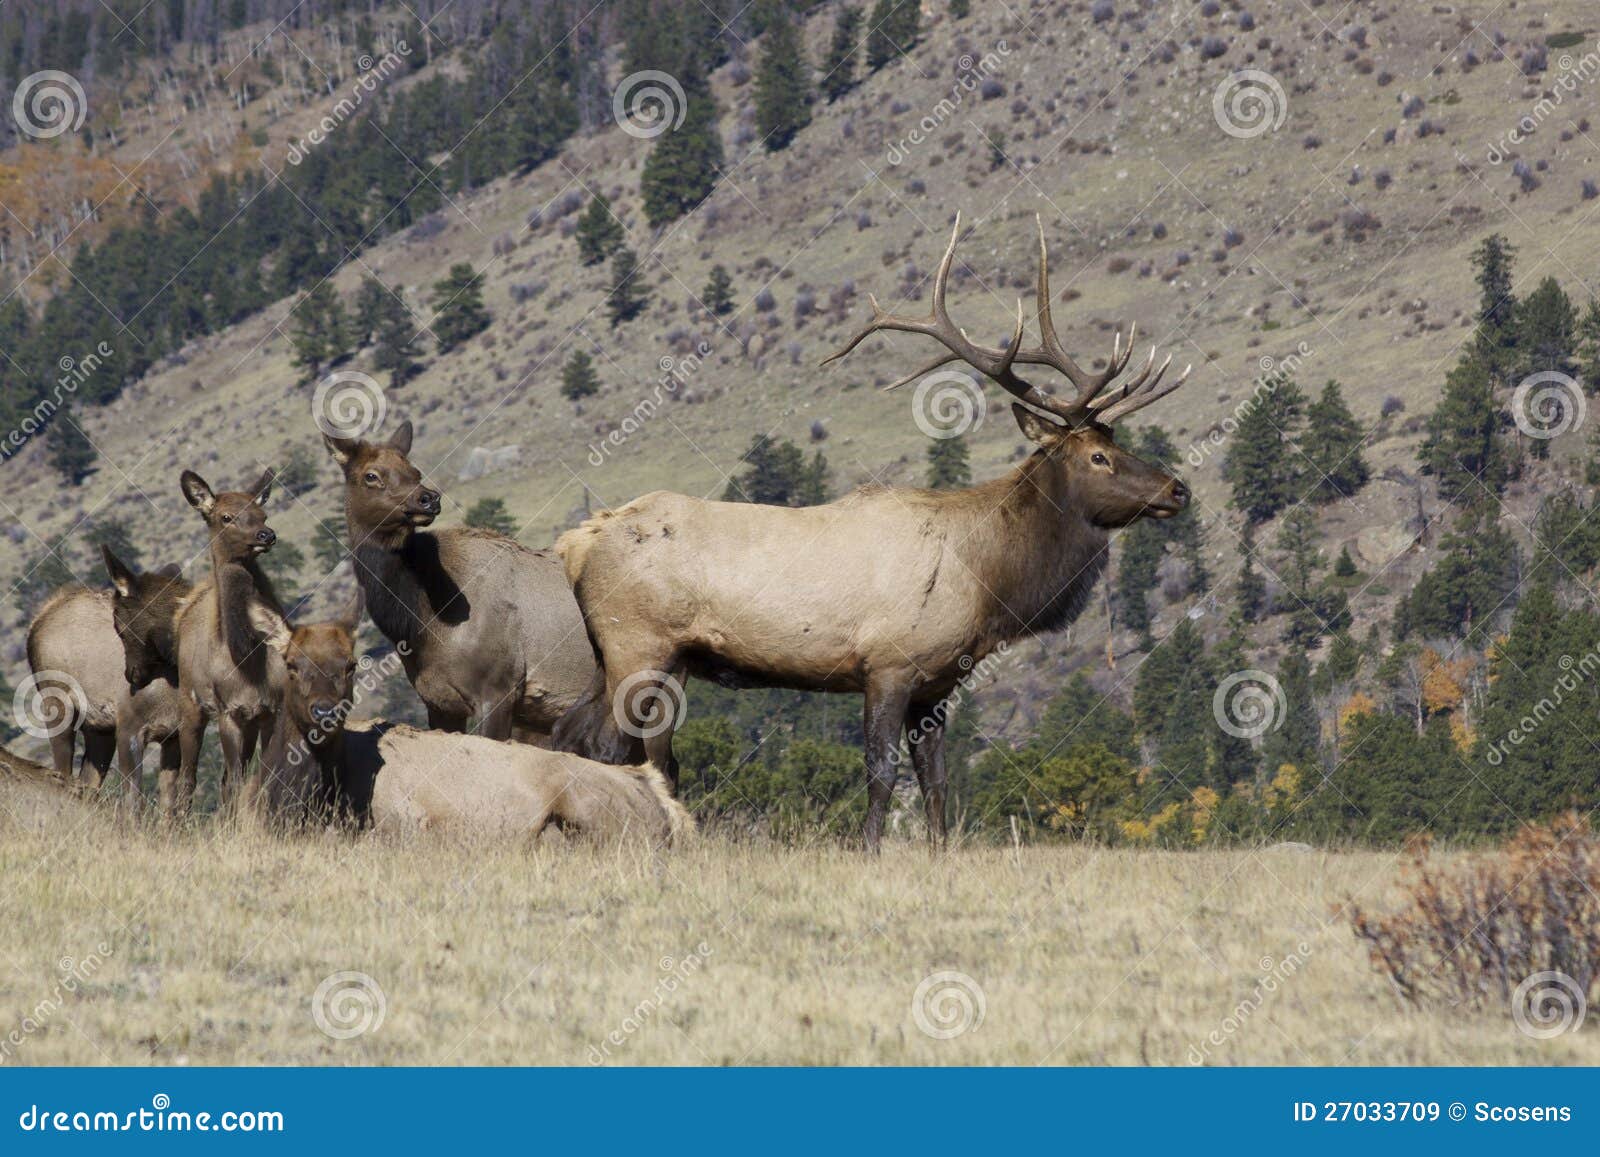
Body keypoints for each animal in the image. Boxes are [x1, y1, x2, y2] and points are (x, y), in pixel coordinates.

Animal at [172, 468, 285, 817]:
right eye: (226, 516)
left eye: (263, 512)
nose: (266, 535)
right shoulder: (228, 711)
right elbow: (234, 781)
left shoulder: (271, 709)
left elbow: (266, 776)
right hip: (190, 704)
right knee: (187, 778)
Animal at [321, 420, 599, 744]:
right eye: (371, 475)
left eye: (415, 471)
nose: (428, 498)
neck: (419, 626)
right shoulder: (438, 702)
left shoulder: (499, 688)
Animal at [553, 216, 1191, 849]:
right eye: (1098, 457)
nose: (1177, 489)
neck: (986, 581)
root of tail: (577, 543)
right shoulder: (888, 665)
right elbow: (881, 771)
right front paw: (870, 849)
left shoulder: (937, 684)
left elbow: (936, 777)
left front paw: (940, 852)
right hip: (639, 644)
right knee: (619, 744)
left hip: (639, 655)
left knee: (594, 736)